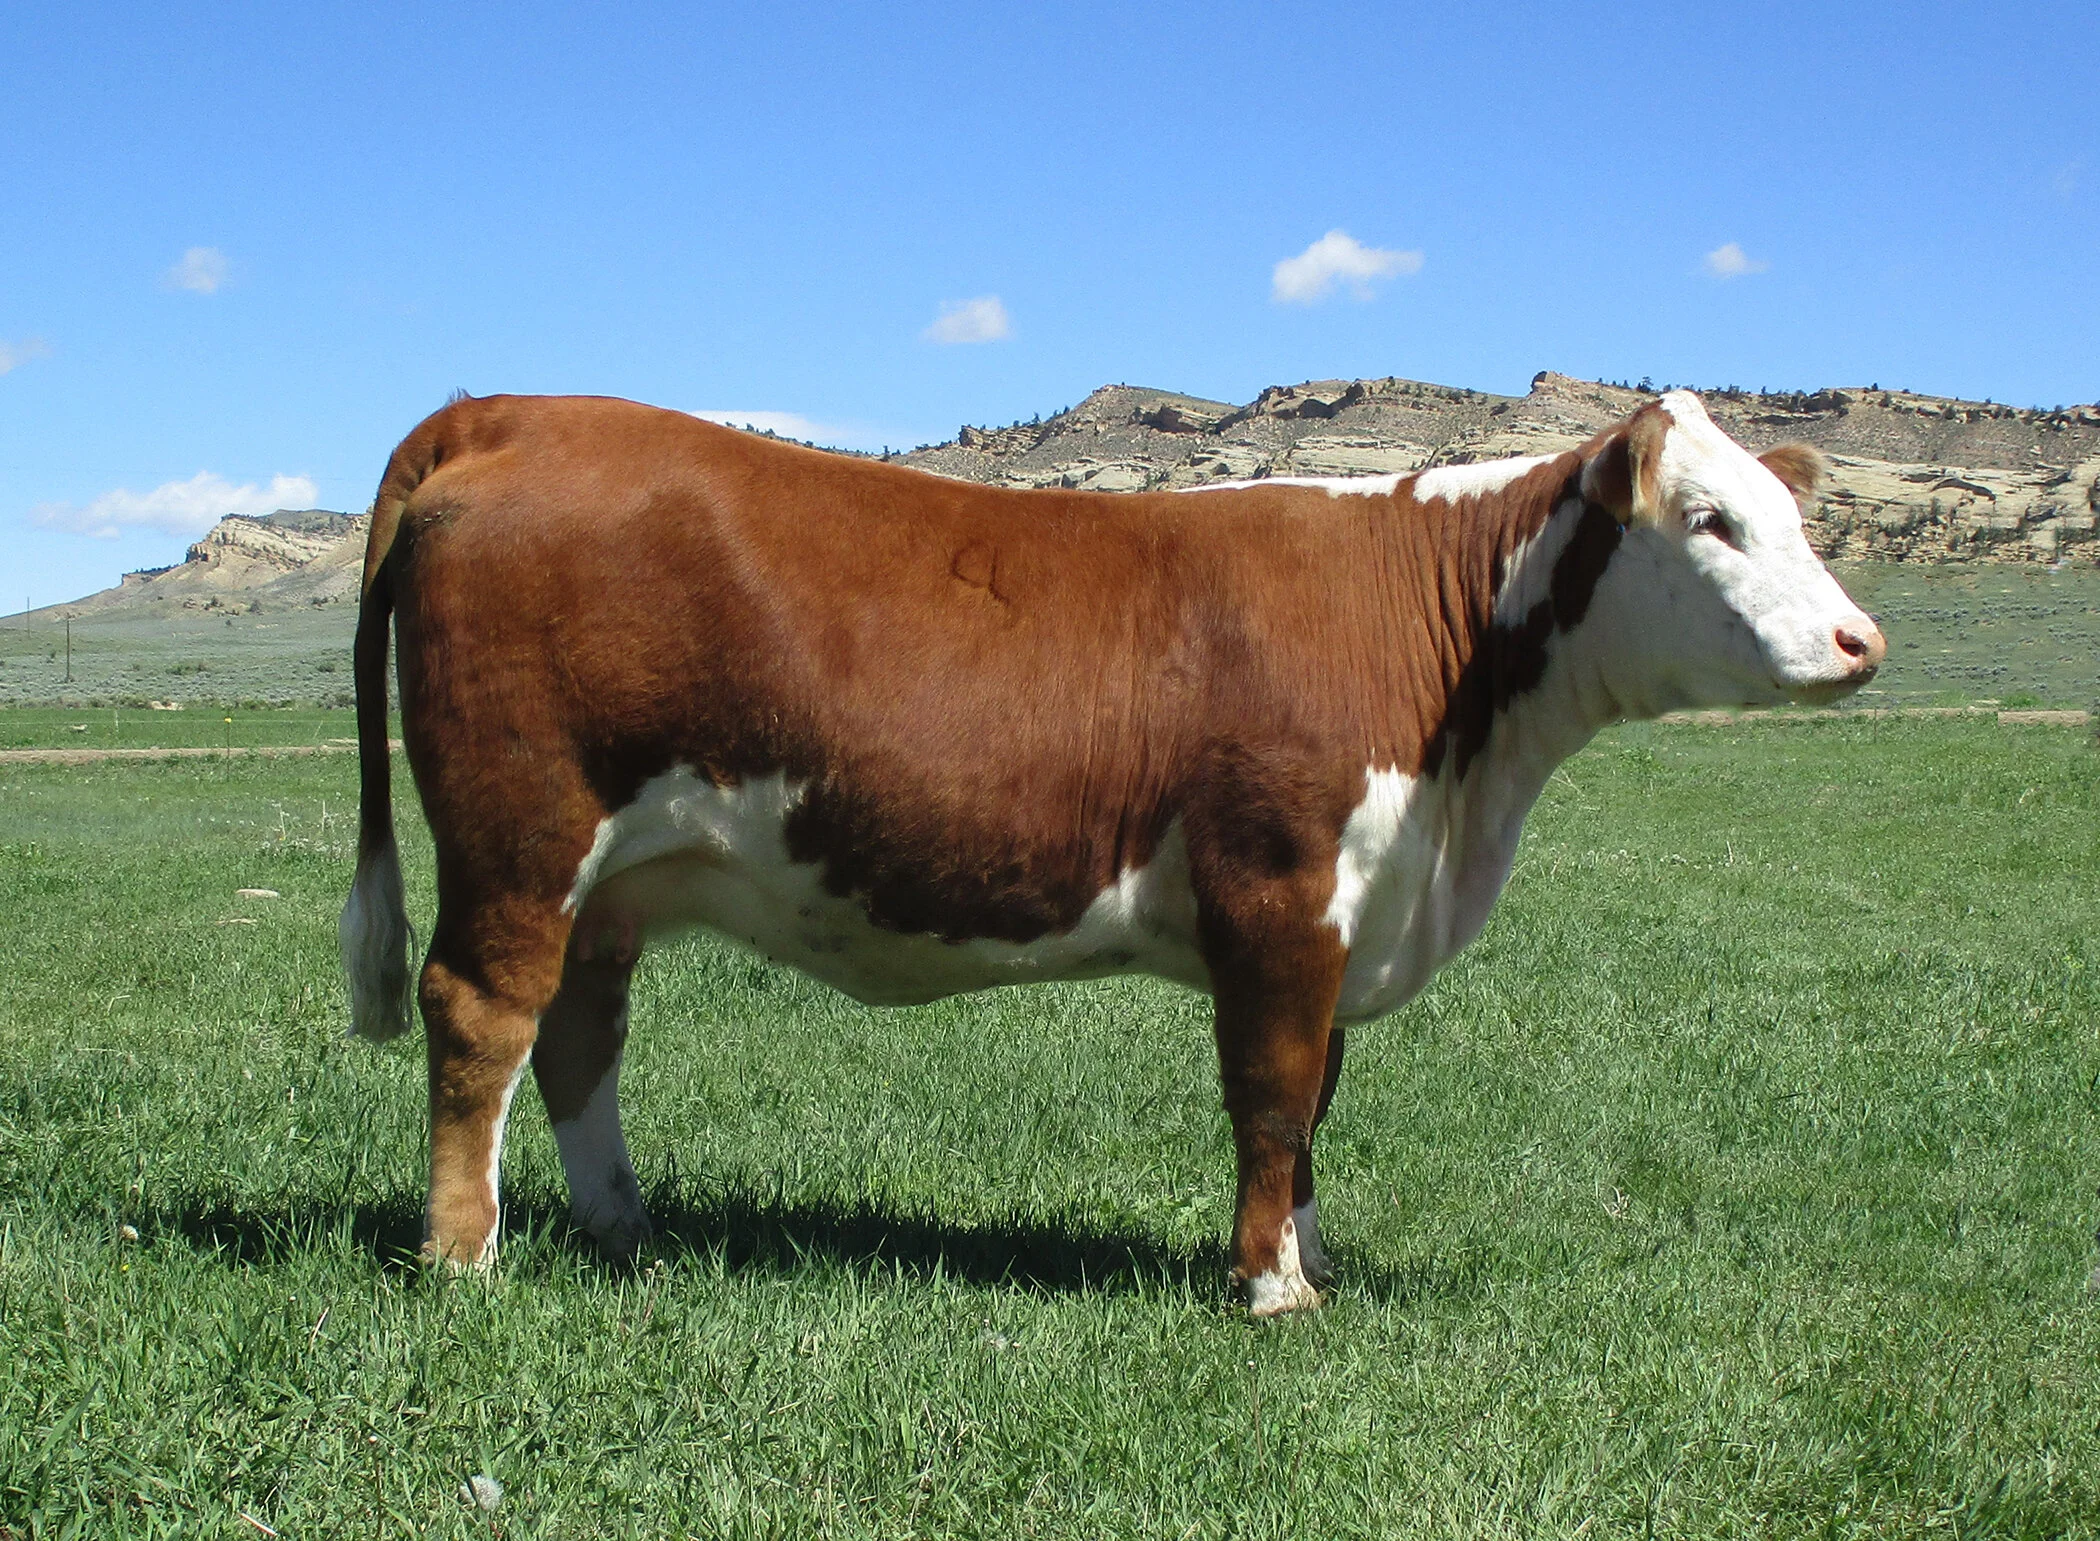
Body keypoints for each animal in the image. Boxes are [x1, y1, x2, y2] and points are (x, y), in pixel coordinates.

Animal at [339, 388, 1883, 1314]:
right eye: (1711, 520)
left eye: (1797, 514)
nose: (1861, 640)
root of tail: (512, 412)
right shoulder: (1279, 892)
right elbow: (1271, 1097)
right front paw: (1272, 1289)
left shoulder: (1340, 913)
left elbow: (1314, 1107)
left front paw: (1307, 1254)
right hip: (522, 832)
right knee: (483, 1014)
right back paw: (464, 1256)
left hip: (611, 877)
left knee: (579, 1033)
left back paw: (623, 1230)